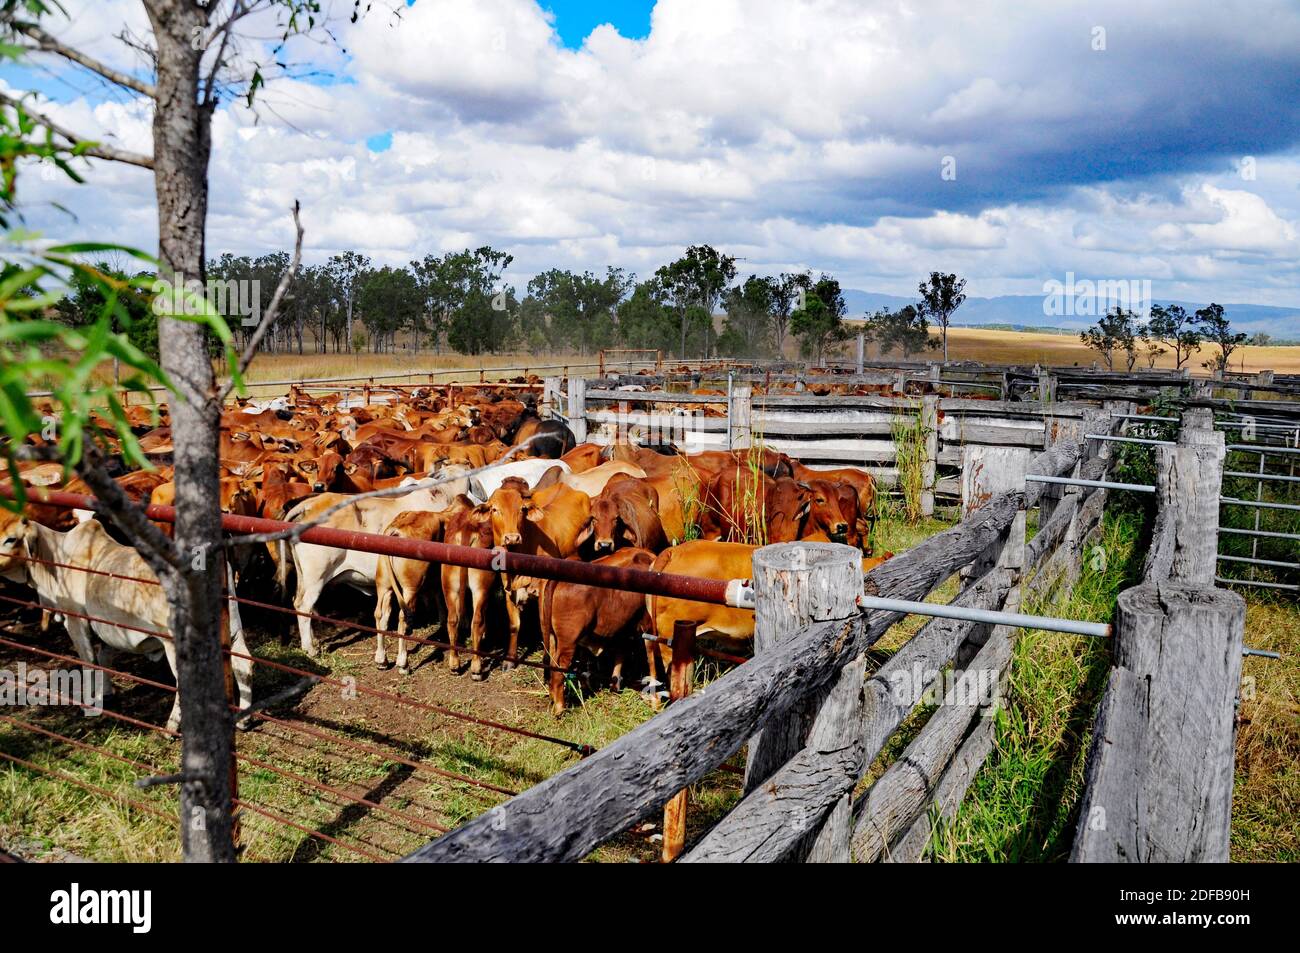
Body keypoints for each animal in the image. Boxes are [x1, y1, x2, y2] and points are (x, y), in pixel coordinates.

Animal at [538, 547, 655, 715]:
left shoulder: (623, 625)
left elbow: (621, 653)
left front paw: (615, 685)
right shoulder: (646, 624)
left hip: (554, 638)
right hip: (568, 642)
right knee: (557, 672)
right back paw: (560, 708)